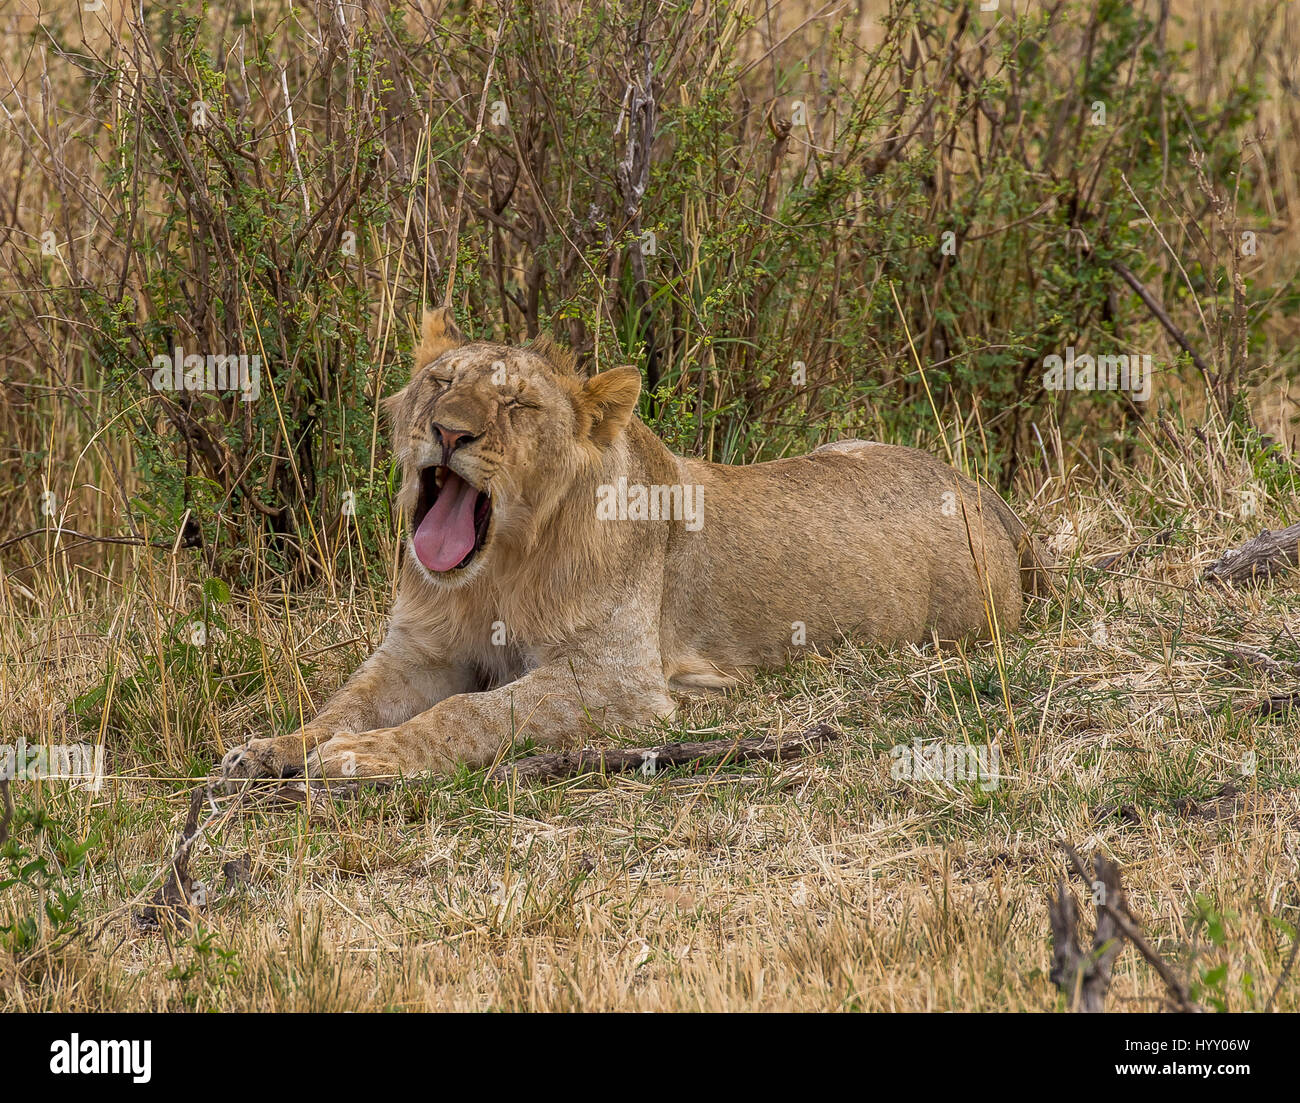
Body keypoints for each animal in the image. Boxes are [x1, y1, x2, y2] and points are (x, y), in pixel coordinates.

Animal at [221, 308, 1044, 783]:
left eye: (517, 405)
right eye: (440, 382)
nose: (449, 432)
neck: (498, 571)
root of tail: (981, 490)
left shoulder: (615, 680)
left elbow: (471, 712)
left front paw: (364, 758)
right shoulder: (419, 651)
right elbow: (347, 700)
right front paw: (275, 747)